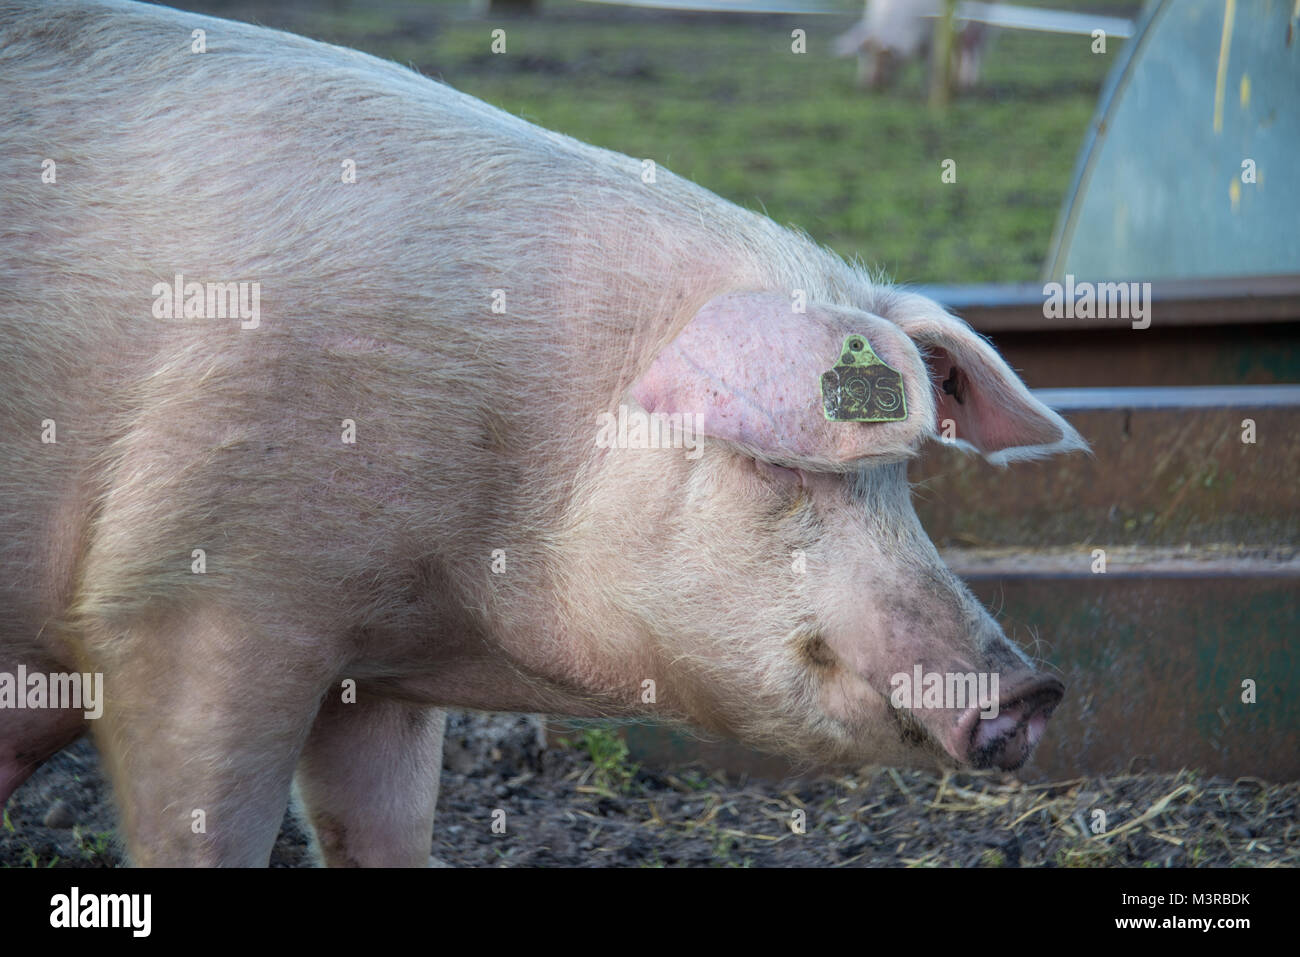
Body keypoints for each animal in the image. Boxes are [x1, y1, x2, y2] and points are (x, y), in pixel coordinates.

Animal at [0, 0, 1083, 866]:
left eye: (903, 478)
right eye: (780, 470)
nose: (1031, 688)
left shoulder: (372, 671)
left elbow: (384, 833)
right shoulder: (190, 600)